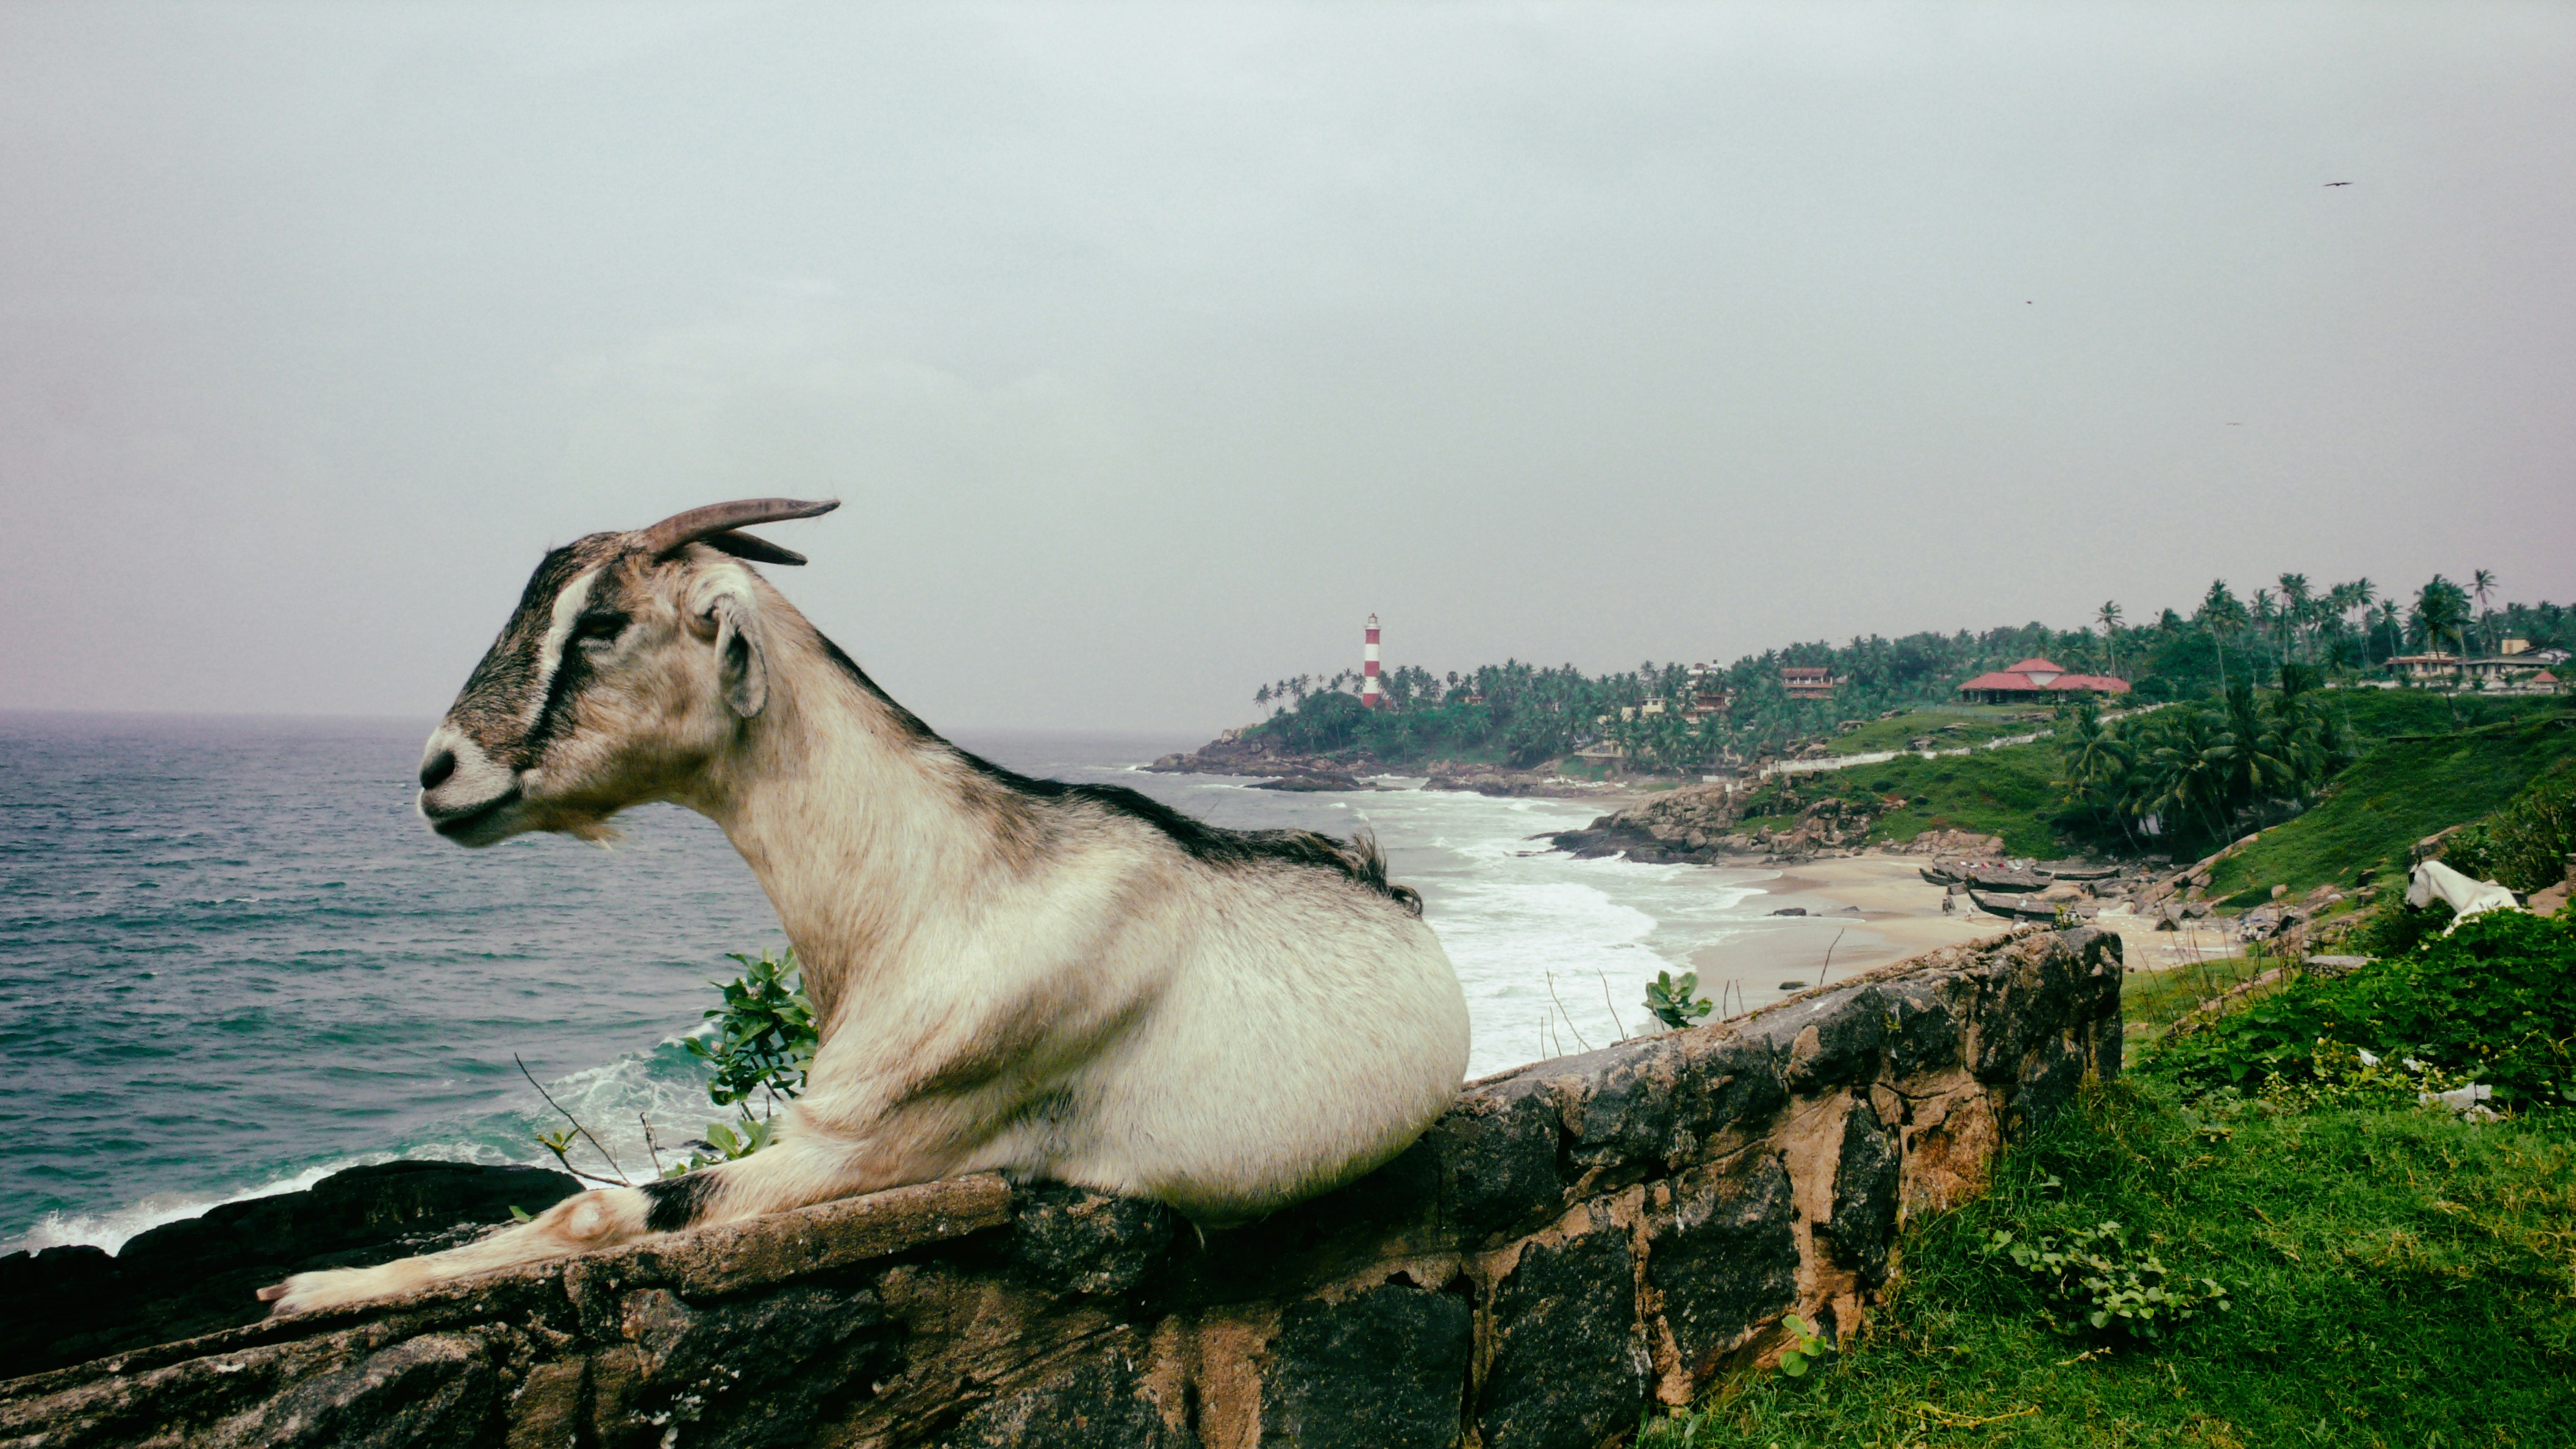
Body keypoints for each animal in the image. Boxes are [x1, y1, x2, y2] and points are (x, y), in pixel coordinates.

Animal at [262, 499, 1469, 1315]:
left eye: (600, 623)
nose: (439, 772)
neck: (938, 887)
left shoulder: (868, 1147)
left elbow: (602, 1209)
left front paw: (312, 1287)